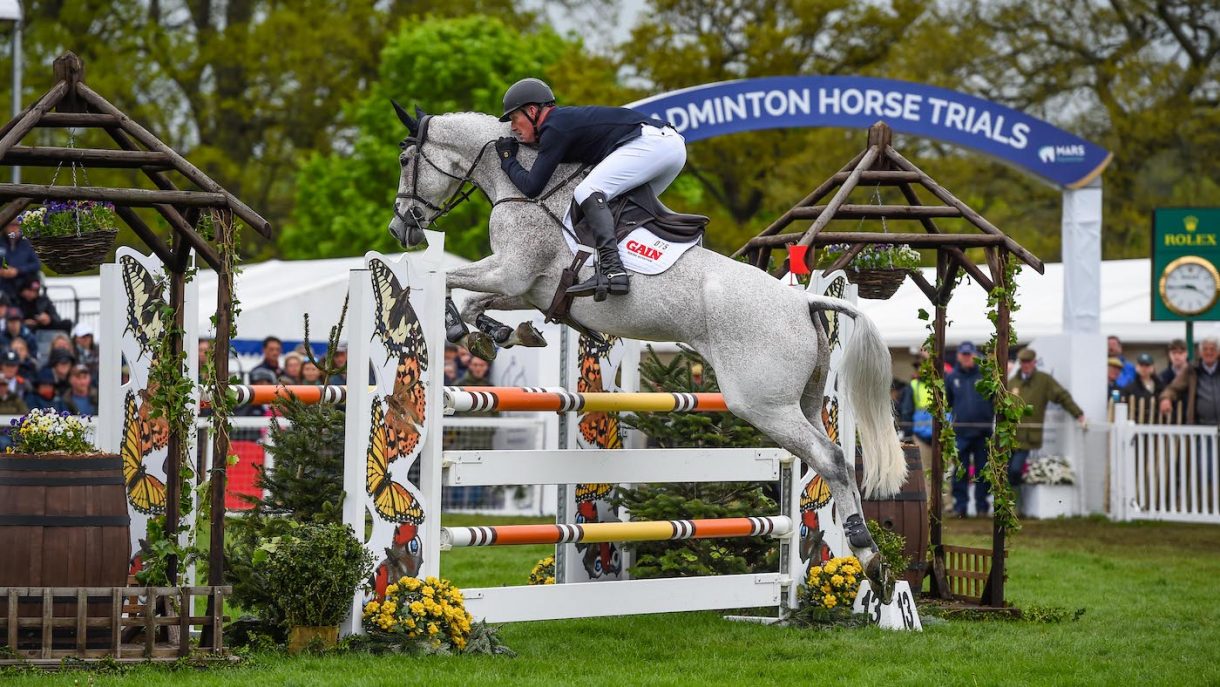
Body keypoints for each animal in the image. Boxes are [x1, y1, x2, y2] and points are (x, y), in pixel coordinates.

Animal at [387, 107, 907, 599]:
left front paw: (462, 327)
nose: (401, 230)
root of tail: (804, 301)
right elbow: (477, 302)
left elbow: (455, 285)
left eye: (406, 160)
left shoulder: (511, 271)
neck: (523, 187)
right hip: (806, 400)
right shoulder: (527, 288)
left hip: (763, 404)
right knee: (837, 458)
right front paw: (499, 333)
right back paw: (867, 560)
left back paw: (868, 554)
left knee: (829, 458)